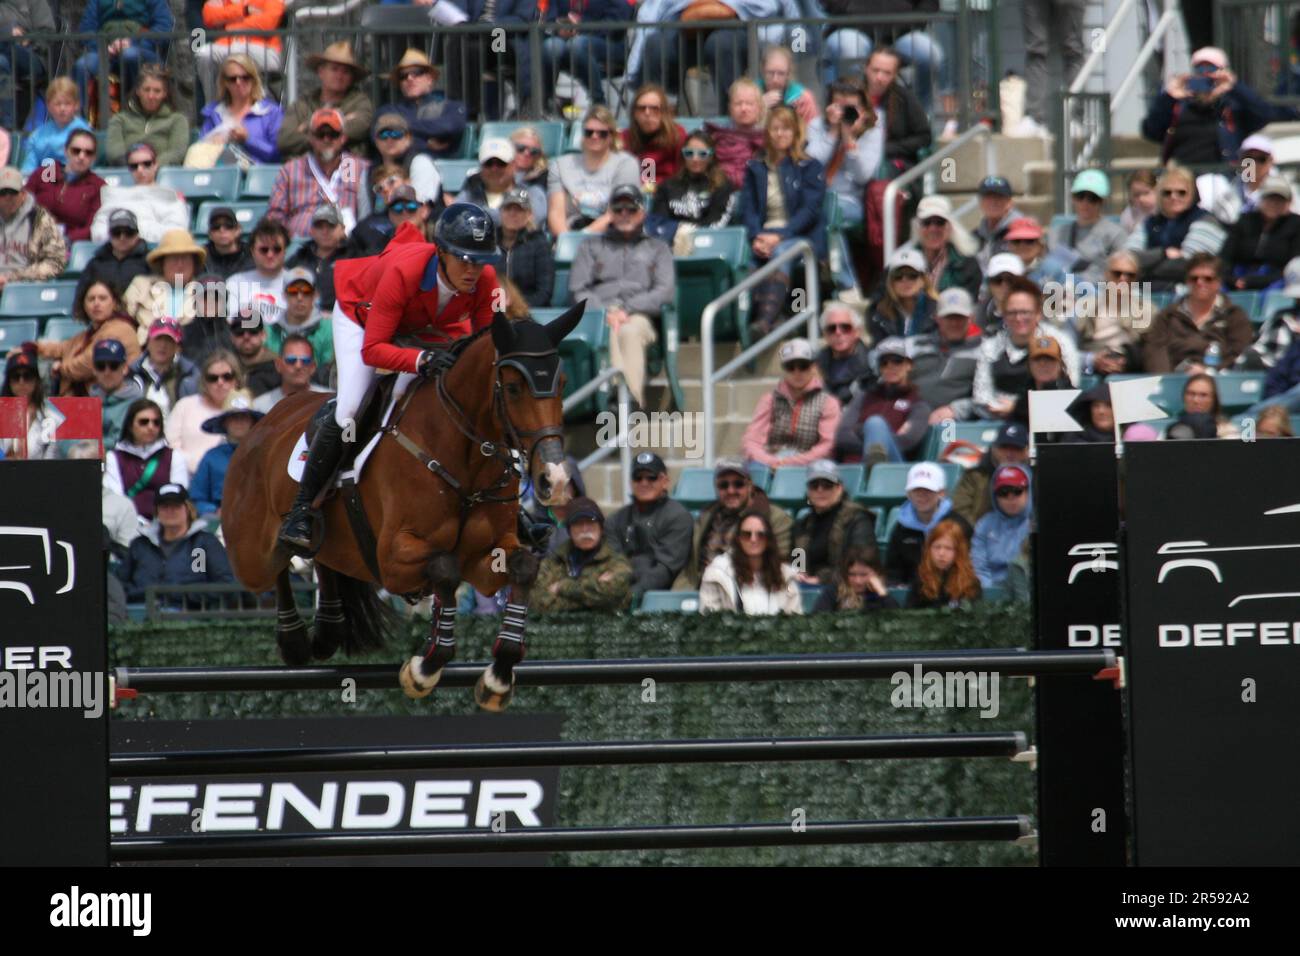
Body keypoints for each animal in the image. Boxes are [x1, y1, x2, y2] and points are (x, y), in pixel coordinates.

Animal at [221, 304, 585, 711]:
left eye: (562, 383)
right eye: (514, 388)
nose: (553, 479)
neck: (464, 456)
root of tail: (261, 424)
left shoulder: (487, 559)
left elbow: (522, 568)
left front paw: (498, 676)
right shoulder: (393, 559)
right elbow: (445, 568)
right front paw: (424, 668)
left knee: (324, 557)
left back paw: (328, 627)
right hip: (250, 554)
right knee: (277, 565)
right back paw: (294, 636)